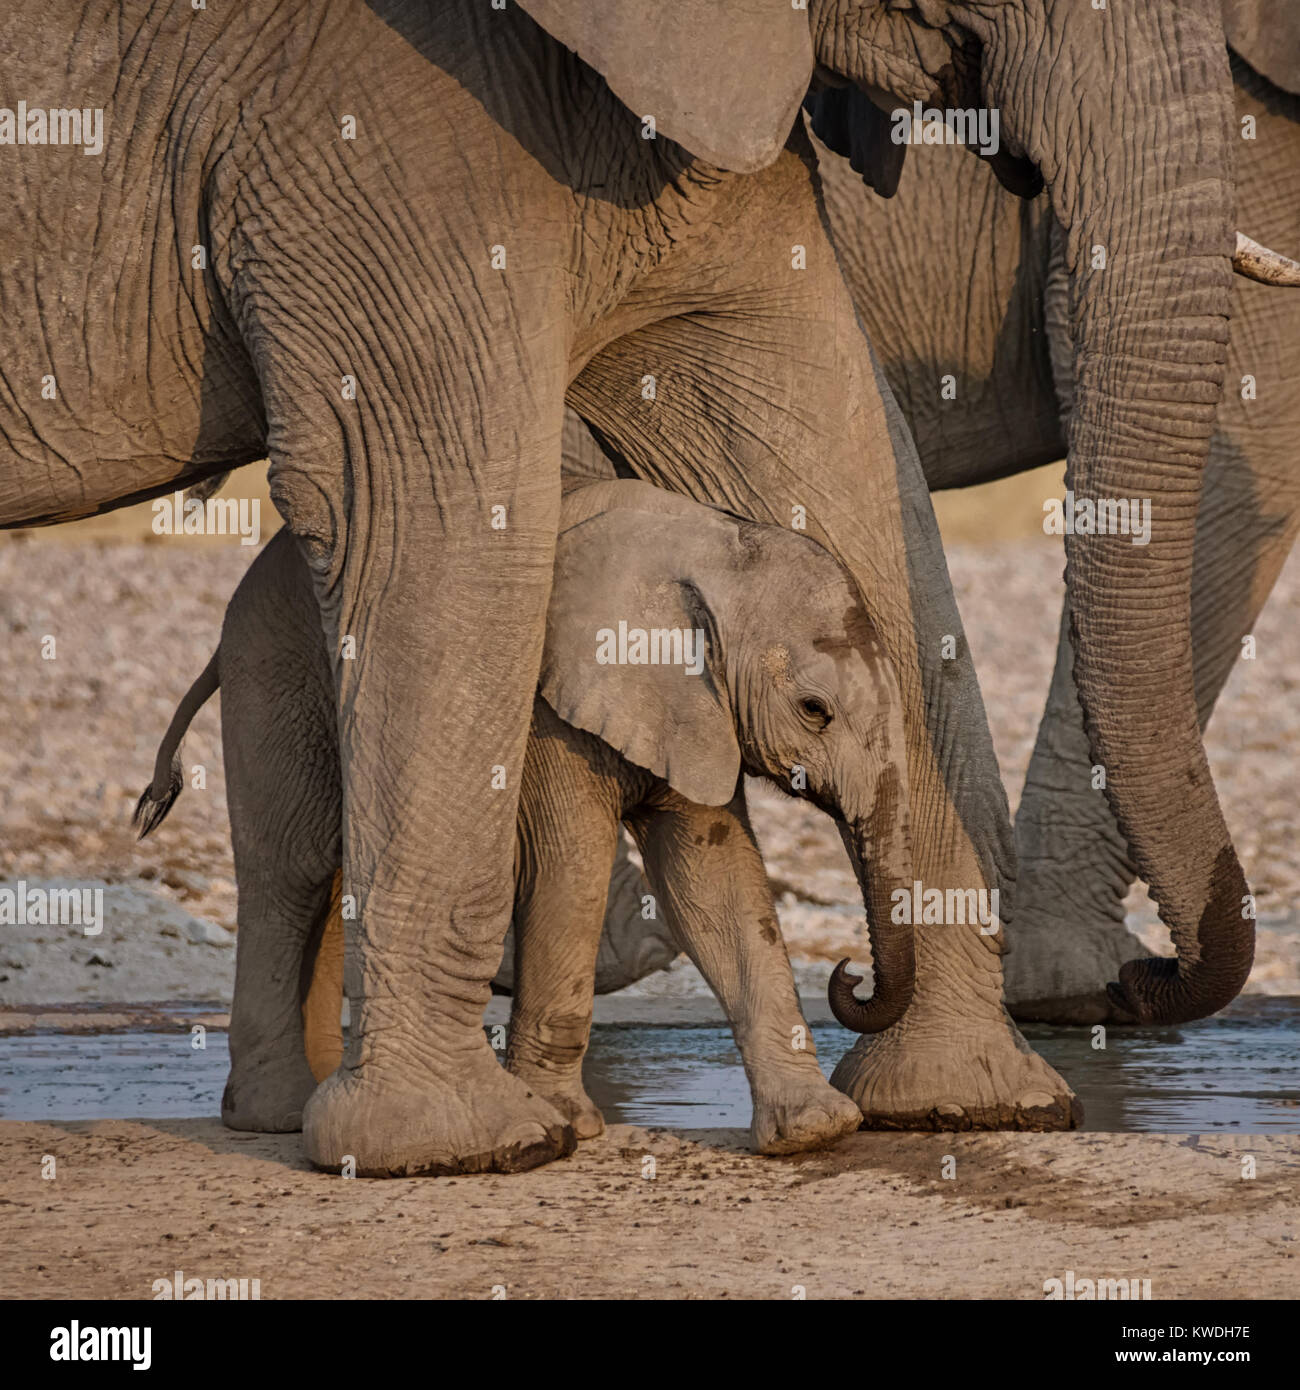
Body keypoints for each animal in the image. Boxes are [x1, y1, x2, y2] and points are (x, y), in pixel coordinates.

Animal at [136, 479, 918, 1157]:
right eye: (814, 710)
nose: (850, 973)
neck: (712, 546)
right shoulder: (550, 704)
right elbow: (571, 860)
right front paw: (567, 1122)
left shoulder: (697, 708)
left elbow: (715, 879)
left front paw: (814, 1130)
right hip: (273, 671)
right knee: (289, 875)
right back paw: (271, 1116)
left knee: (330, 879)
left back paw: (314, 1100)